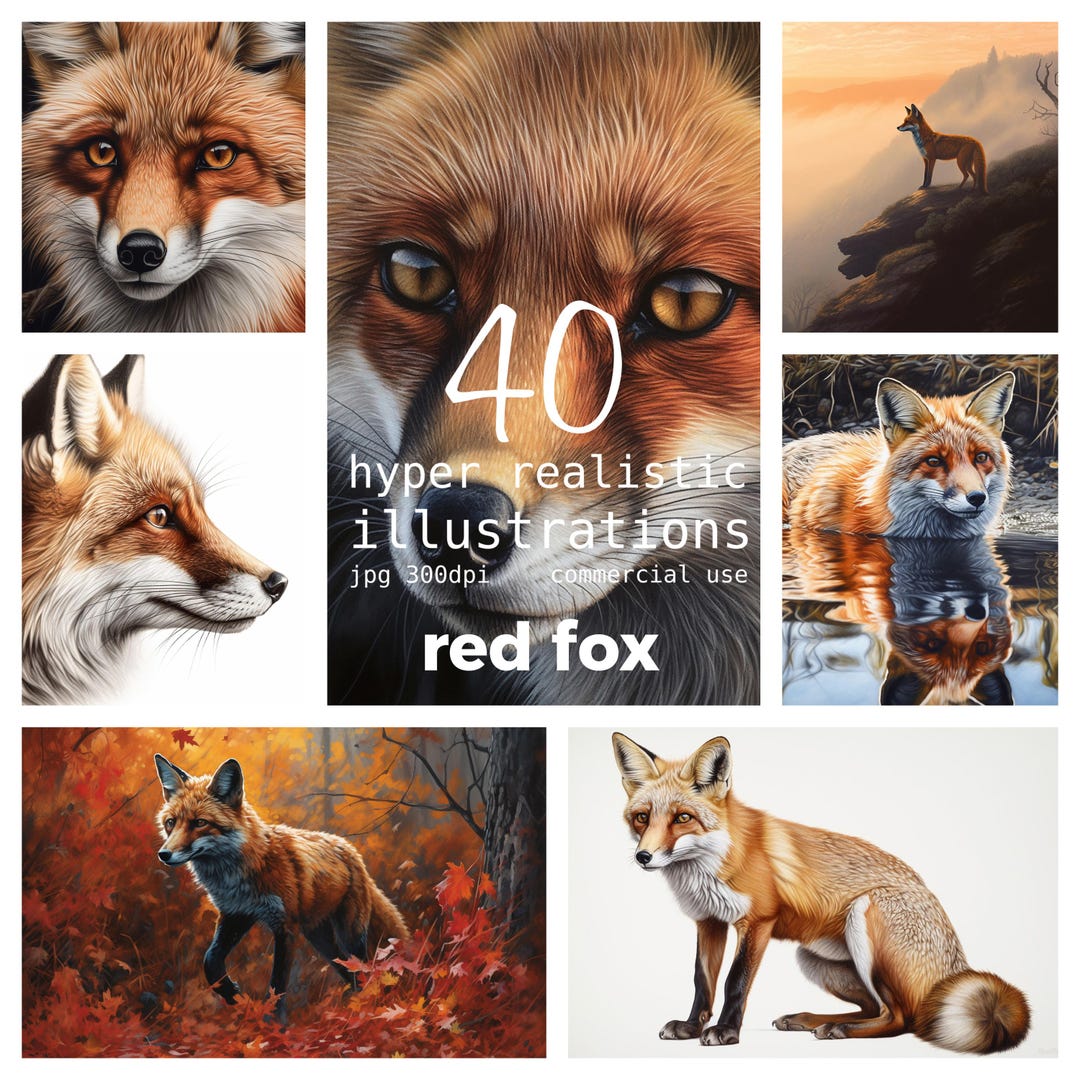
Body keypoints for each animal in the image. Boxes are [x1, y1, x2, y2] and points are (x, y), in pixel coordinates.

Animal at [155, 755, 407, 1017]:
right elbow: (210, 960)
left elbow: (277, 984)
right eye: (171, 823)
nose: (164, 854)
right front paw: (232, 994)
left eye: (200, 823)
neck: (240, 876)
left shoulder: (285, 927)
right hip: (319, 937)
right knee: (349, 970)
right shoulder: (236, 914)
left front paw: (274, 1021)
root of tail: (350, 850)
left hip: (350, 933)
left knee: (365, 967)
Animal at [613, 732, 1030, 1053]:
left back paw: (839, 1030)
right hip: (812, 958)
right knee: (874, 1009)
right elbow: (703, 983)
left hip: (866, 916)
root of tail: (955, 966)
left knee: (901, 1018)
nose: (644, 856)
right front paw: (691, 1027)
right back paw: (811, 1020)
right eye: (642, 818)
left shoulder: (758, 922)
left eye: (682, 818)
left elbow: (734, 982)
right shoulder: (709, 921)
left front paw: (726, 1032)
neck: (714, 862)